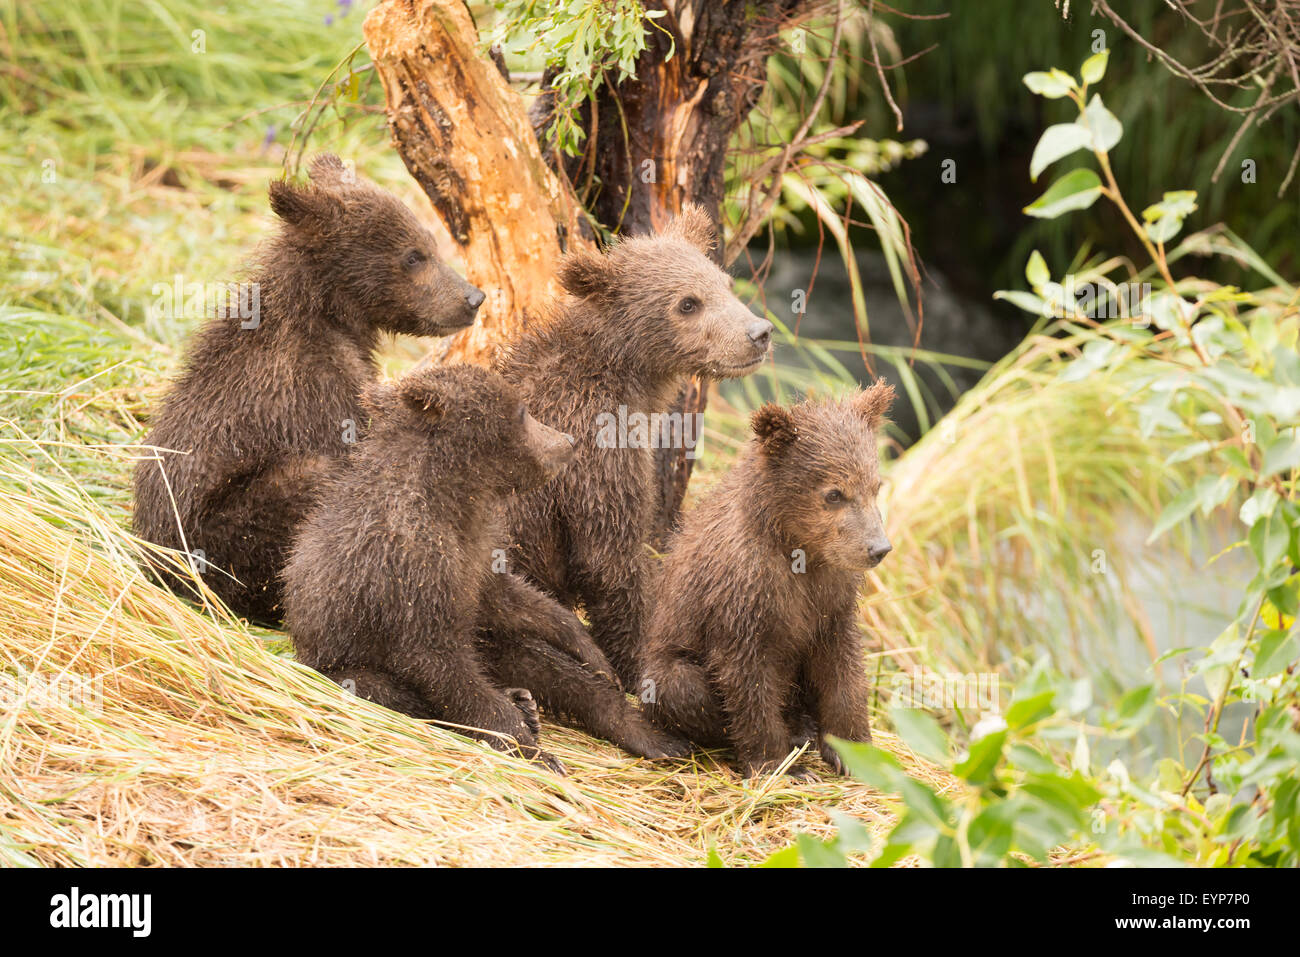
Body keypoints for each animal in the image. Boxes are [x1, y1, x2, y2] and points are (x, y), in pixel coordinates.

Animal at [132, 154, 484, 624]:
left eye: (430, 246)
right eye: (414, 255)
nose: (473, 298)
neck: (331, 316)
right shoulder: (315, 389)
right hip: (220, 532)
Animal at [281, 364, 687, 773]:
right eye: (522, 412)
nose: (566, 441)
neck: (449, 494)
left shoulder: (480, 545)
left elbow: (510, 598)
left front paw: (591, 651)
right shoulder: (408, 567)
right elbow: (439, 667)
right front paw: (533, 749)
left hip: (488, 645)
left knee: (543, 663)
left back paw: (649, 734)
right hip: (338, 664)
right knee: (386, 690)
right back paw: (522, 709)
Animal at [495, 205, 774, 687]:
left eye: (725, 283)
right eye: (687, 303)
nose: (758, 333)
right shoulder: (592, 448)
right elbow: (610, 560)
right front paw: (641, 660)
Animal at [640, 380, 896, 779]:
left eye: (875, 485)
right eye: (834, 493)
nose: (878, 548)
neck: (799, 551)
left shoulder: (831, 597)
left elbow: (842, 667)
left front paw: (851, 750)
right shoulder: (741, 597)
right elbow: (748, 681)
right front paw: (780, 765)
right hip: (666, 660)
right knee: (681, 686)